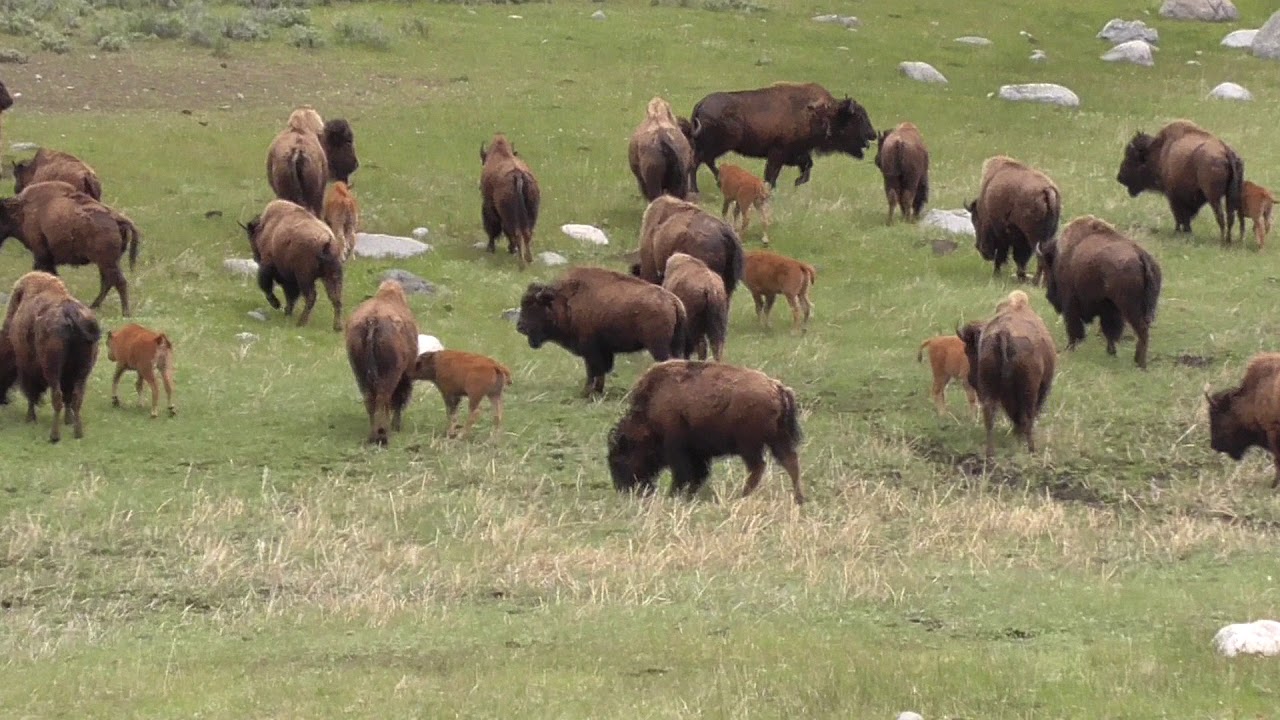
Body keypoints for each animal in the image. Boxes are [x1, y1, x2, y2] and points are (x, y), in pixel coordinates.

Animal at [687, 81, 875, 193]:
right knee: (699, 162)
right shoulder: (778, 152)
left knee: (704, 162)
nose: (872, 134)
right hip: (718, 146)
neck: (821, 114)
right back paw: (698, 189)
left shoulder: (797, 153)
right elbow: (772, 174)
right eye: (858, 117)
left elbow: (807, 166)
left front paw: (797, 182)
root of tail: (700, 104)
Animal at [1038, 215, 1162, 369]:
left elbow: (1074, 327)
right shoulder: (1109, 308)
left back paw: (1140, 363)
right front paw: (1111, 352)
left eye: (1047, 268)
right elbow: (1110, 331)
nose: (1048, 295)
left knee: (1142, 330)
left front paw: (1070, 348)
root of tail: (1141, 255)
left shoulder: (1071, 303)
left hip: (1130, 308)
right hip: (1144, 308)